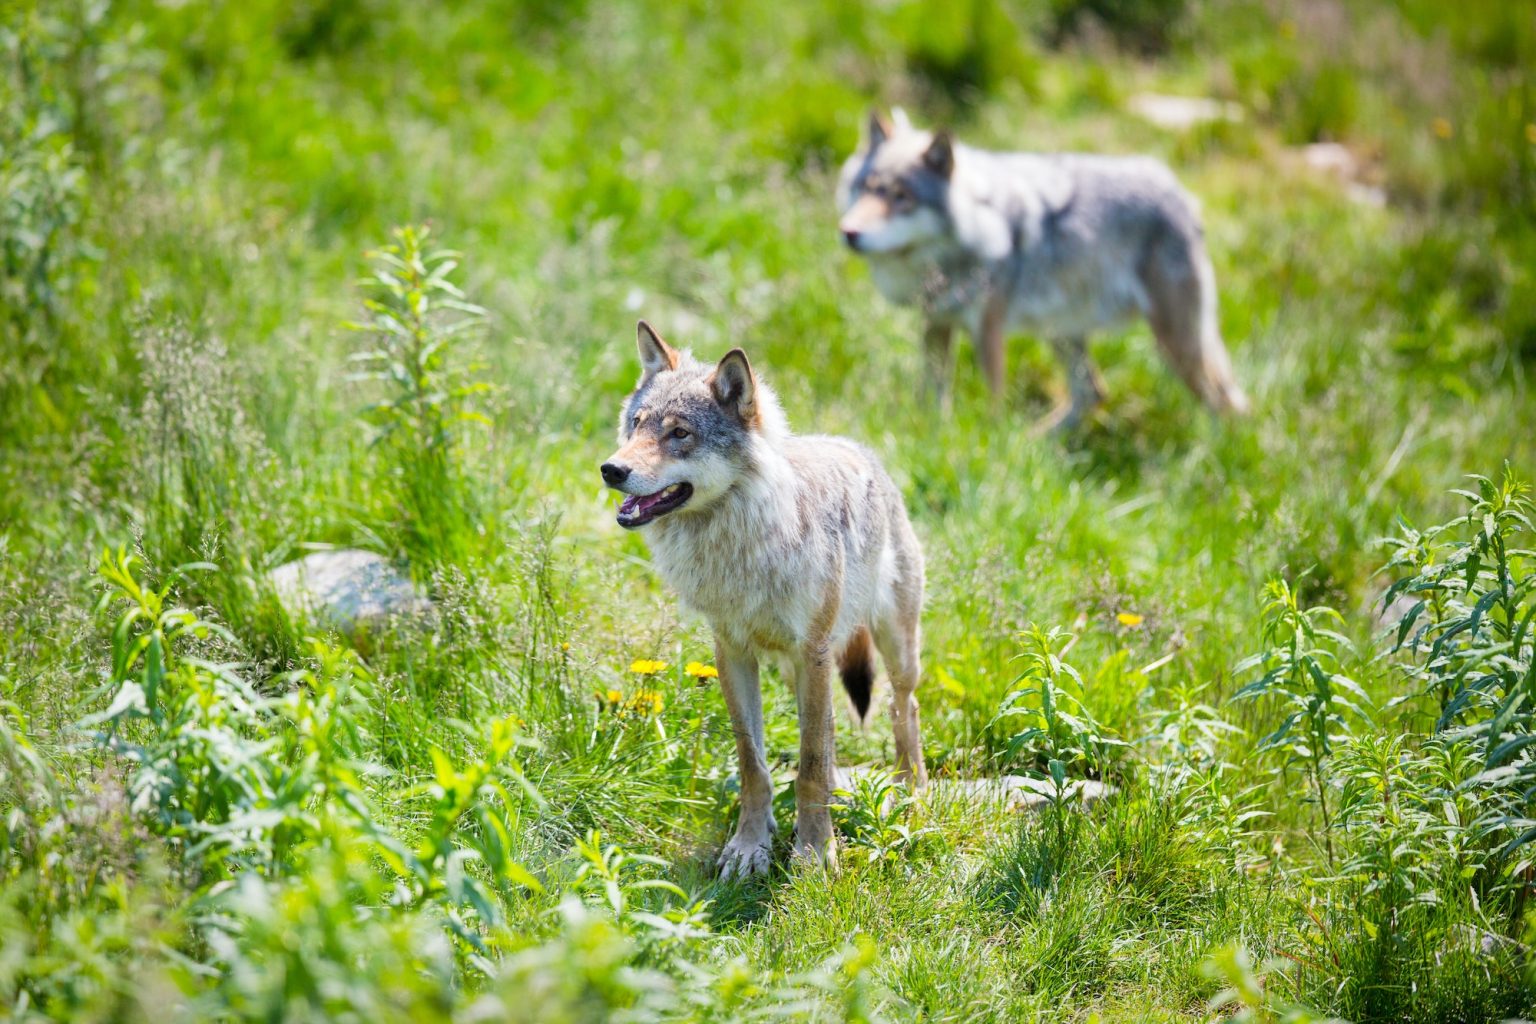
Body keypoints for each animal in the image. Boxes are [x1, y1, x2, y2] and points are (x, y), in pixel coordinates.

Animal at [600, 321, 927, 879]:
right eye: (637, 425)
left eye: (679, 434)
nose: (611, 469)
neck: (741, 548)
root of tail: (855, 448)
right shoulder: (732, 653)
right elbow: (754, 762)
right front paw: (750, 847)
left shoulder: (813, 652)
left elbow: (810, 765)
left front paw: (814, 853)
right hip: (806, 669)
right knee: (834, 732)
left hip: (890, 650)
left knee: (903, 709)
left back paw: (912, 794)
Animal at [837, 108, 1249, 429]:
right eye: (866, 188)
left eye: (901, 197)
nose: (849, 233)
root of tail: (1180, 192)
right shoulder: (936, 323)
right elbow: (934, 395)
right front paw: (935, 433)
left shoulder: (988, 329)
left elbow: (993, 402)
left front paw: (990, 444)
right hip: (1063, 334)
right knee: (1092, 393)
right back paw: (1034, 441)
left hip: (1174, 344)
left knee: (1225, 404)